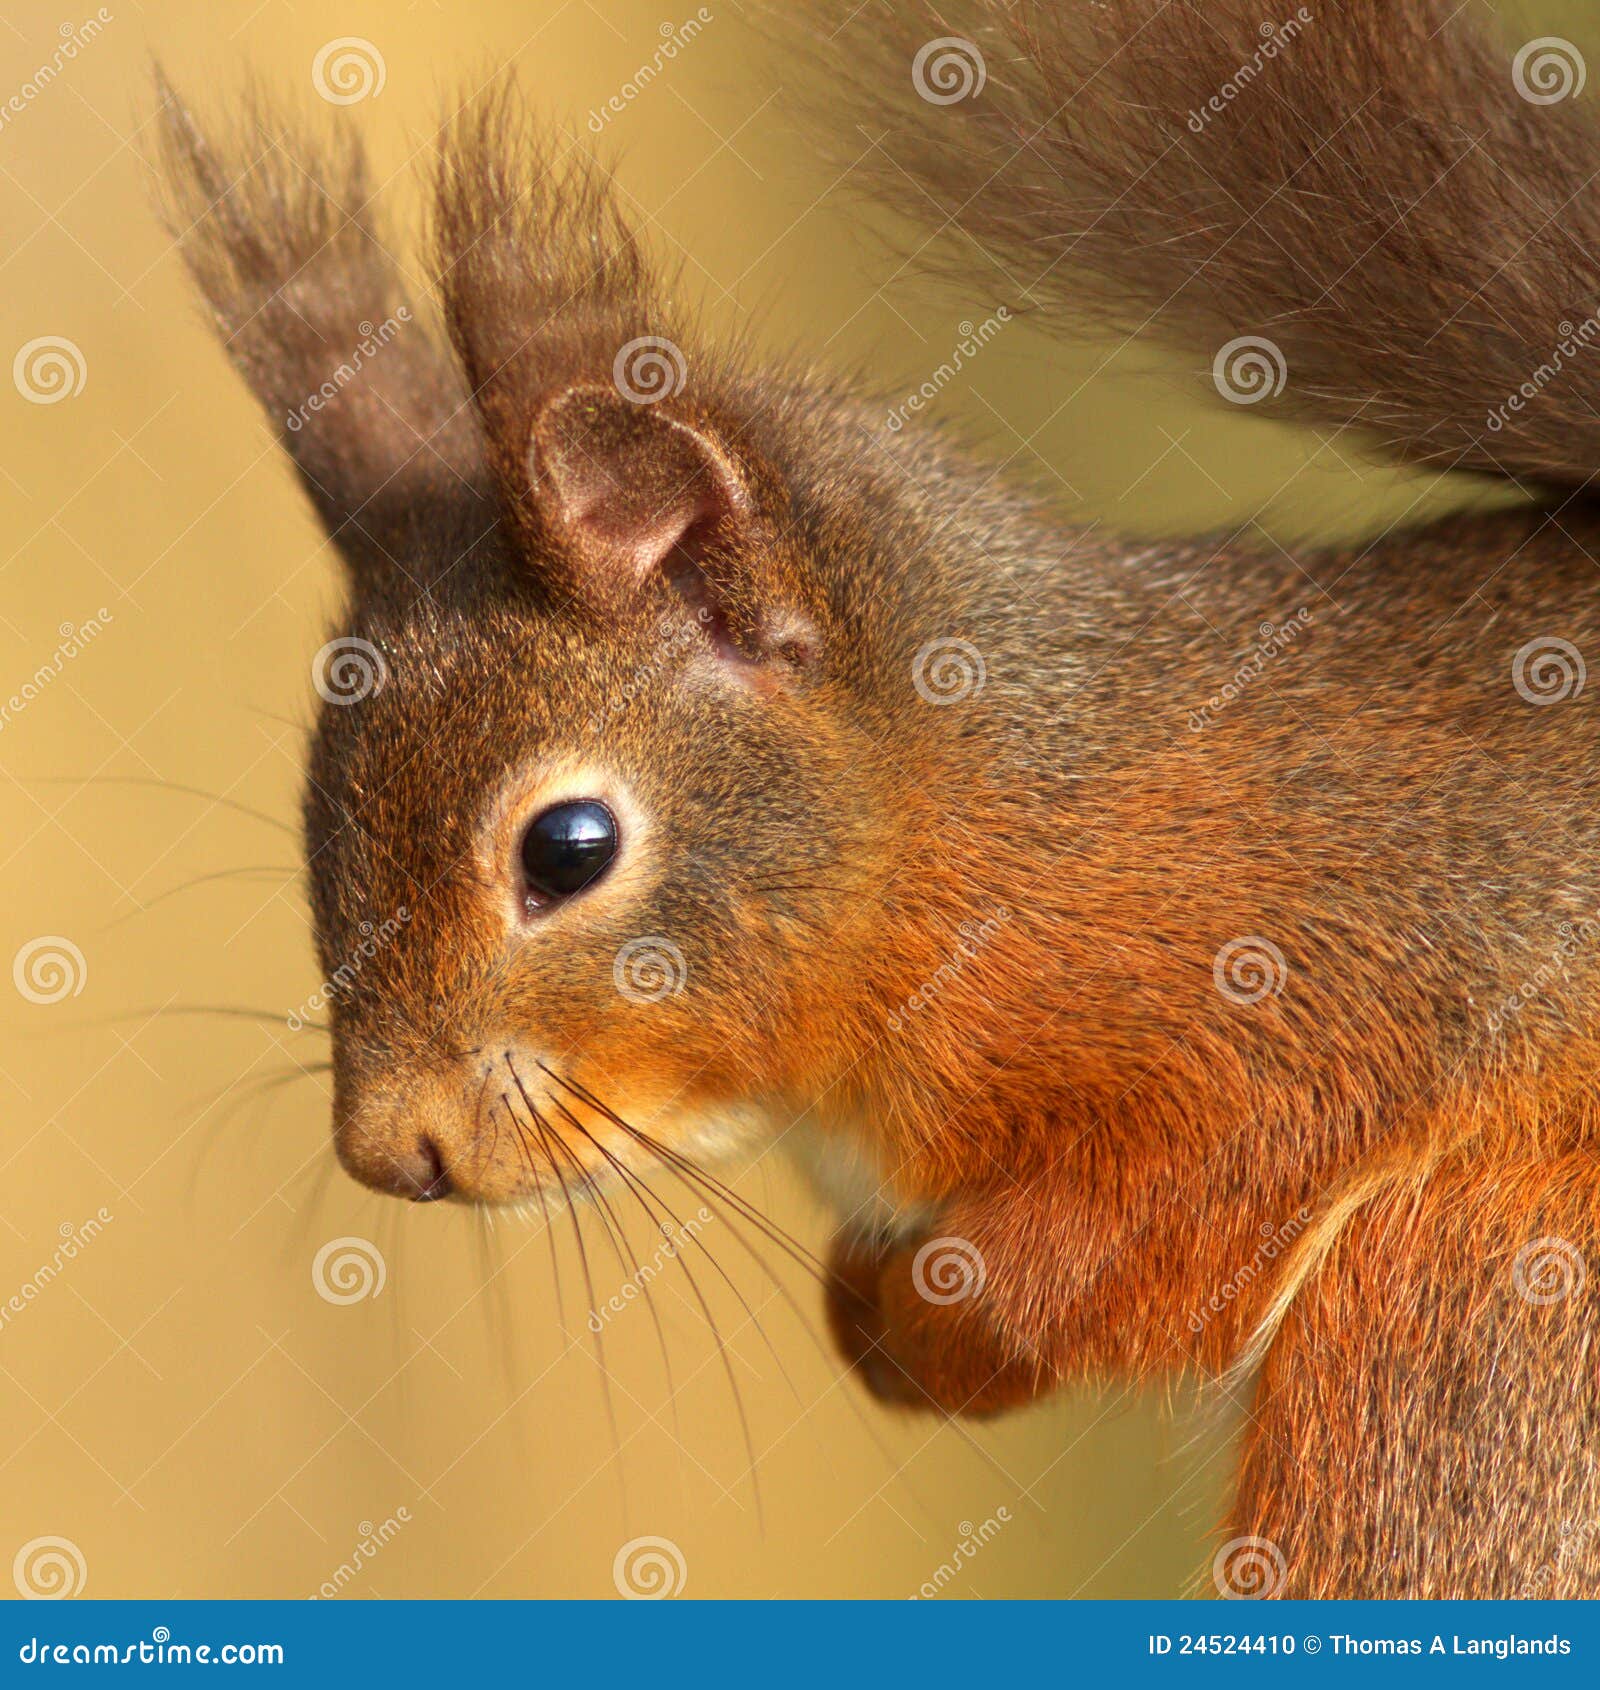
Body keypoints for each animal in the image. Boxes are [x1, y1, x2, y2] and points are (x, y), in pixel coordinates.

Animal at [155, 0, 1600, 1598]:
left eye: (569, 848)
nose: (389, 1151)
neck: (976, 814)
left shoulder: (1340, 960)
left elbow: (1216, 1181)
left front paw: (943, 1320)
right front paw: (875, 1313)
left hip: (1470, 1300)